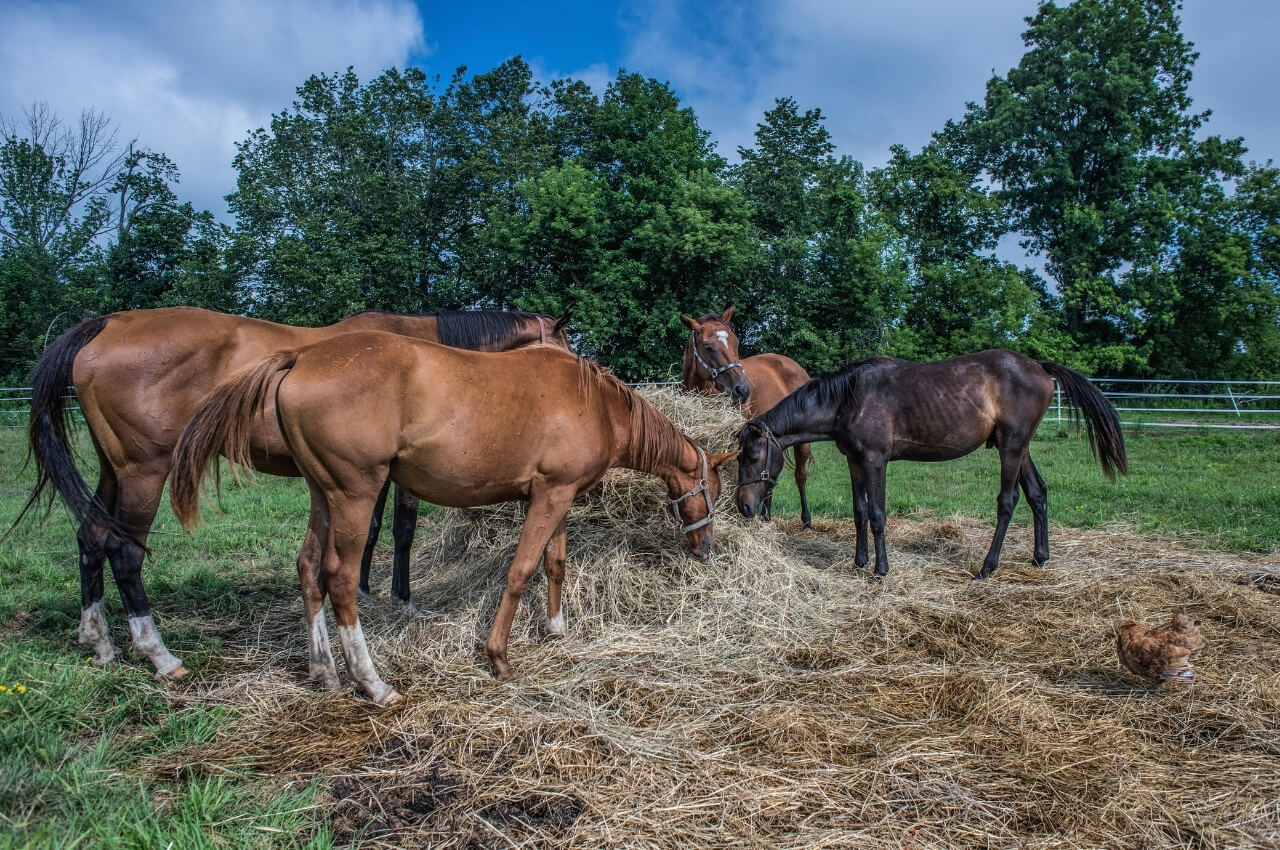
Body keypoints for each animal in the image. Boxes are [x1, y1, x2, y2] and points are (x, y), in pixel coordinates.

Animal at [18, 306, 570, 677]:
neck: (430, 353)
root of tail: (108, 325)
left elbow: (368, 535)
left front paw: (367, 592)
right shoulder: (395, 477)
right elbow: (398, 529)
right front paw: (400, 599)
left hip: (115, 471)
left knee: (92, 537)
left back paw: (99, 641)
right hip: (144, 473)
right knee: (125, 552)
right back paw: (159, 654)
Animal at [169, 333, 736, 704]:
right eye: (713, 491)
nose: (706, 548)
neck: (594, 402)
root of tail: (301, 356)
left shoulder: (561, 496)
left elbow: (555, 564)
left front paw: (555, 629)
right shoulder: (549, 497)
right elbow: (520, 572)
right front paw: (499, 657)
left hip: (322, 496)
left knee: (309, 569)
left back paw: (324, 671)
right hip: (355, 494)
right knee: (341, 580)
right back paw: (373, 683)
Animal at [681, 305, 814, 528]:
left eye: (736, 342)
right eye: (708, 347)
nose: (742, 390)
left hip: (801, 443)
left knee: (801, 476)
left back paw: (806, 521)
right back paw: (766, 516)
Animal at [734, 350, 1127, 579]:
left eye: (752, 456)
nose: (745, 507)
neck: (849, 398)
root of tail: (1038, 366)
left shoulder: (876, 461)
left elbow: (877, 515)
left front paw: (880, 569)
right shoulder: (855, 462)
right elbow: (859, 512)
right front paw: (859, 562)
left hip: (1012, 447)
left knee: (1008, 501)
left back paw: (987, 567)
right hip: (1021, 446)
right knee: (1037, 494)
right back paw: (1040, 557)